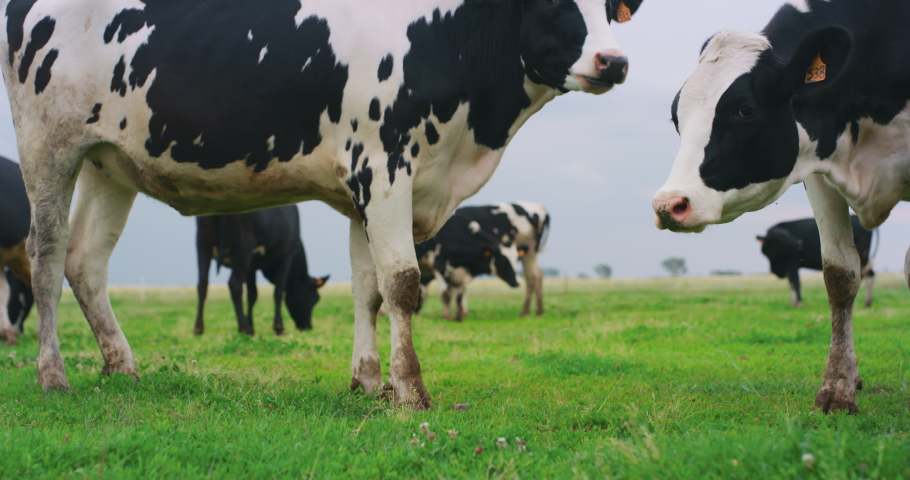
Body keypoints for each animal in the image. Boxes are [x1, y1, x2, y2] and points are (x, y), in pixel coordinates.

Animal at [195, 205, 329, 336]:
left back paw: (198, 329)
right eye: (315, 298)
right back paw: (244, 329)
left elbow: (252, 295)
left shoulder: (251, 267)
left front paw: (251, 325)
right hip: (243, 248)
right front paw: (278, 328)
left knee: (202, 284)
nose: (308, 327)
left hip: (203, 243)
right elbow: (279, 291)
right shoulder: (286, 256)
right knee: (235, 284)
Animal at [416, 202, 550, 319]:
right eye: (503, 261)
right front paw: (457, 315)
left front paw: (451, 316)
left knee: (531, 278)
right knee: (538, 275)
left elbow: (452, 293)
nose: (516, 282)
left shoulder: (442, 265)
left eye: (515, 260)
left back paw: (525, 312)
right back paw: (538, 311)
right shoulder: (447, 267)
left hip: (529, 253)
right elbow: (453, 293)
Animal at [652, 0, 910, 413]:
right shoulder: (820, 172)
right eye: (677, 116)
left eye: (745, 109)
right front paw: (838, 388)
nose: (668, 204)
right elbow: (840, 275)